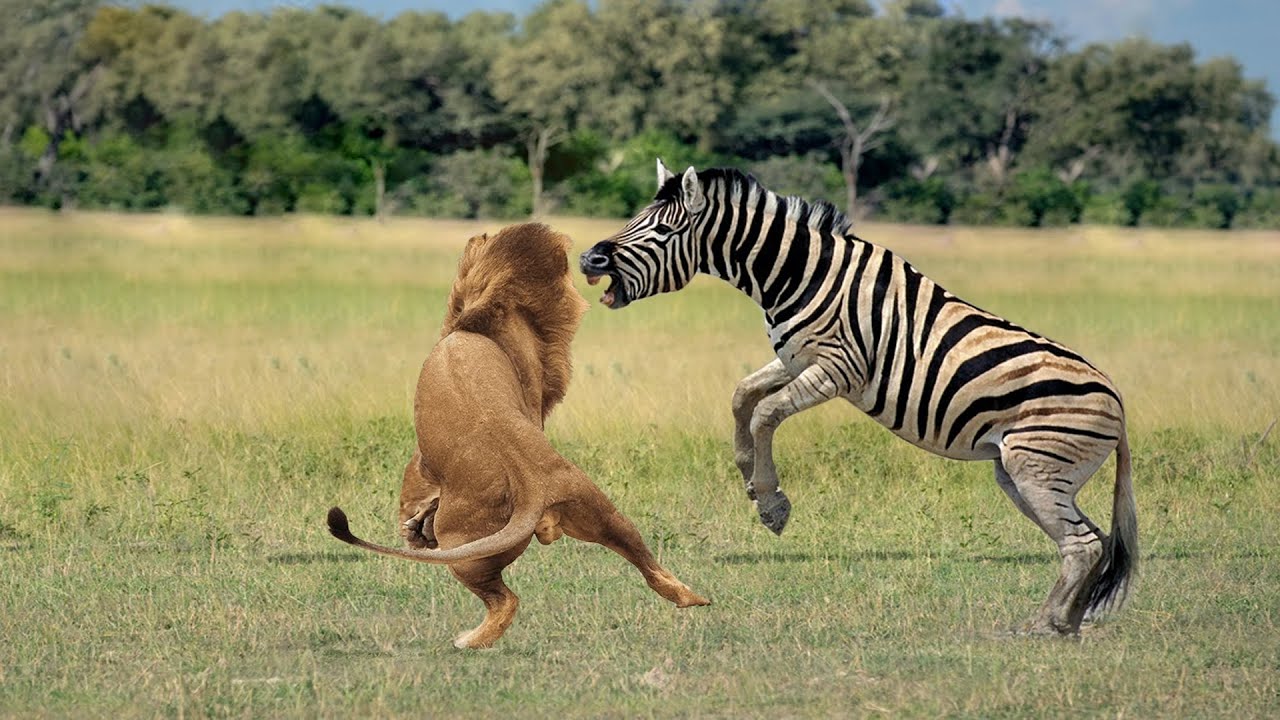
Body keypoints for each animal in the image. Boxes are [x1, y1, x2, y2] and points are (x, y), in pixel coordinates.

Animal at [327, 222, 709, 649]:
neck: (493, 309)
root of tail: (531, 486)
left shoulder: (425, 458)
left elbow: (413, 484)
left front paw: (413, 529)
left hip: (463, 550)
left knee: (505, 601)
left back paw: (469, 641)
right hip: (603, 512)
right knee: (647, 562)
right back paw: (693, 598)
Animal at [579, 160, 1136, 635]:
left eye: (661, 230)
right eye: (633, 217)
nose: (589, 257)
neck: (797, 275)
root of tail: (1119, 402)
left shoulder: (838, 368)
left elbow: (765, 414)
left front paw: (772, 503)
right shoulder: (797, 358)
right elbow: (742, 396)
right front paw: (748, 475)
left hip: (1035, 467)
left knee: (1083, 544)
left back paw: (1044, 625)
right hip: (1029, 473)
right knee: (1092, 542)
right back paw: (1069, 621)